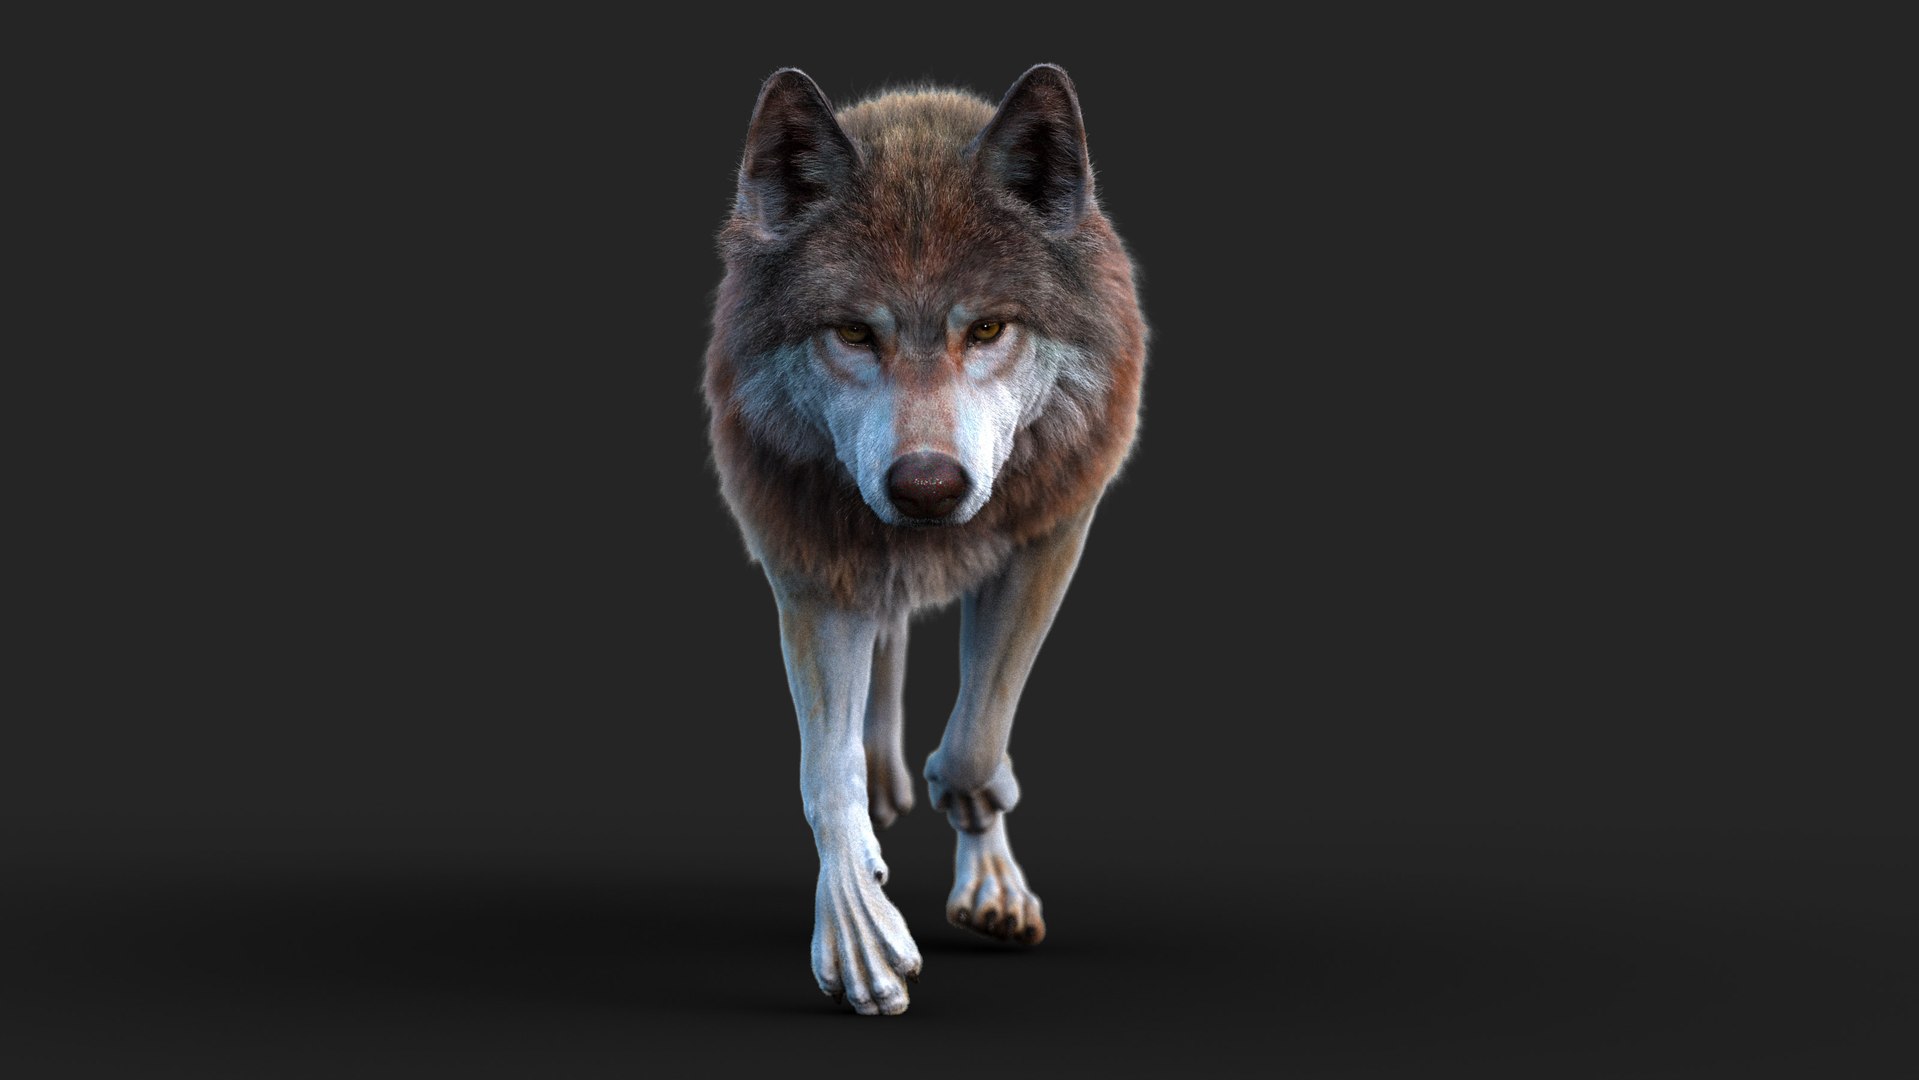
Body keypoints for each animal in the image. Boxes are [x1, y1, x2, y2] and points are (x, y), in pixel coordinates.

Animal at [701, 63, 1146, 1015]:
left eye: (985, 329)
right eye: (852, 331)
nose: (927, 488)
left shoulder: (1050, 535)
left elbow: (980, 732)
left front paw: (972, 807)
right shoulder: (815, 564)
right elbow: (822, 775)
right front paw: (859, 935)